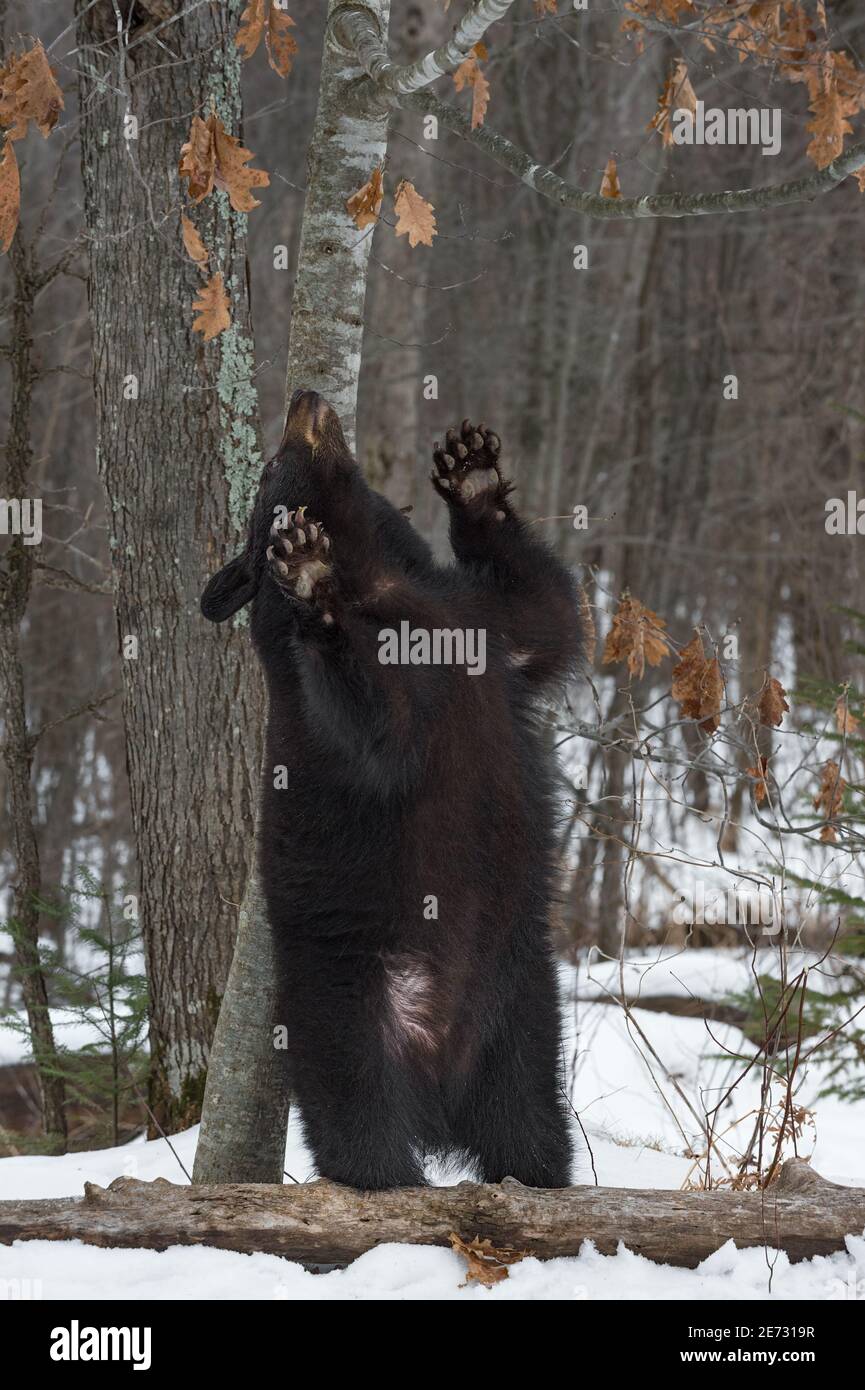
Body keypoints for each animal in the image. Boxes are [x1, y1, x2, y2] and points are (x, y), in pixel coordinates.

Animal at [201, 388, 585, 1190]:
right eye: (268, 470)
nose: (305, 397)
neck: (382, 576)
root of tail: (437, 1077)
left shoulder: (479, 624)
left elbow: (546, 614)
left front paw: (470, 472)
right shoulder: (335, 698)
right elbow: (371, 723)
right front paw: (308, 572)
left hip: (525, 1019)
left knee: (532, 1123)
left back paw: (538, 1179)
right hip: (347, 1007)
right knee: (361, 1118)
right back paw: (383, 1178)